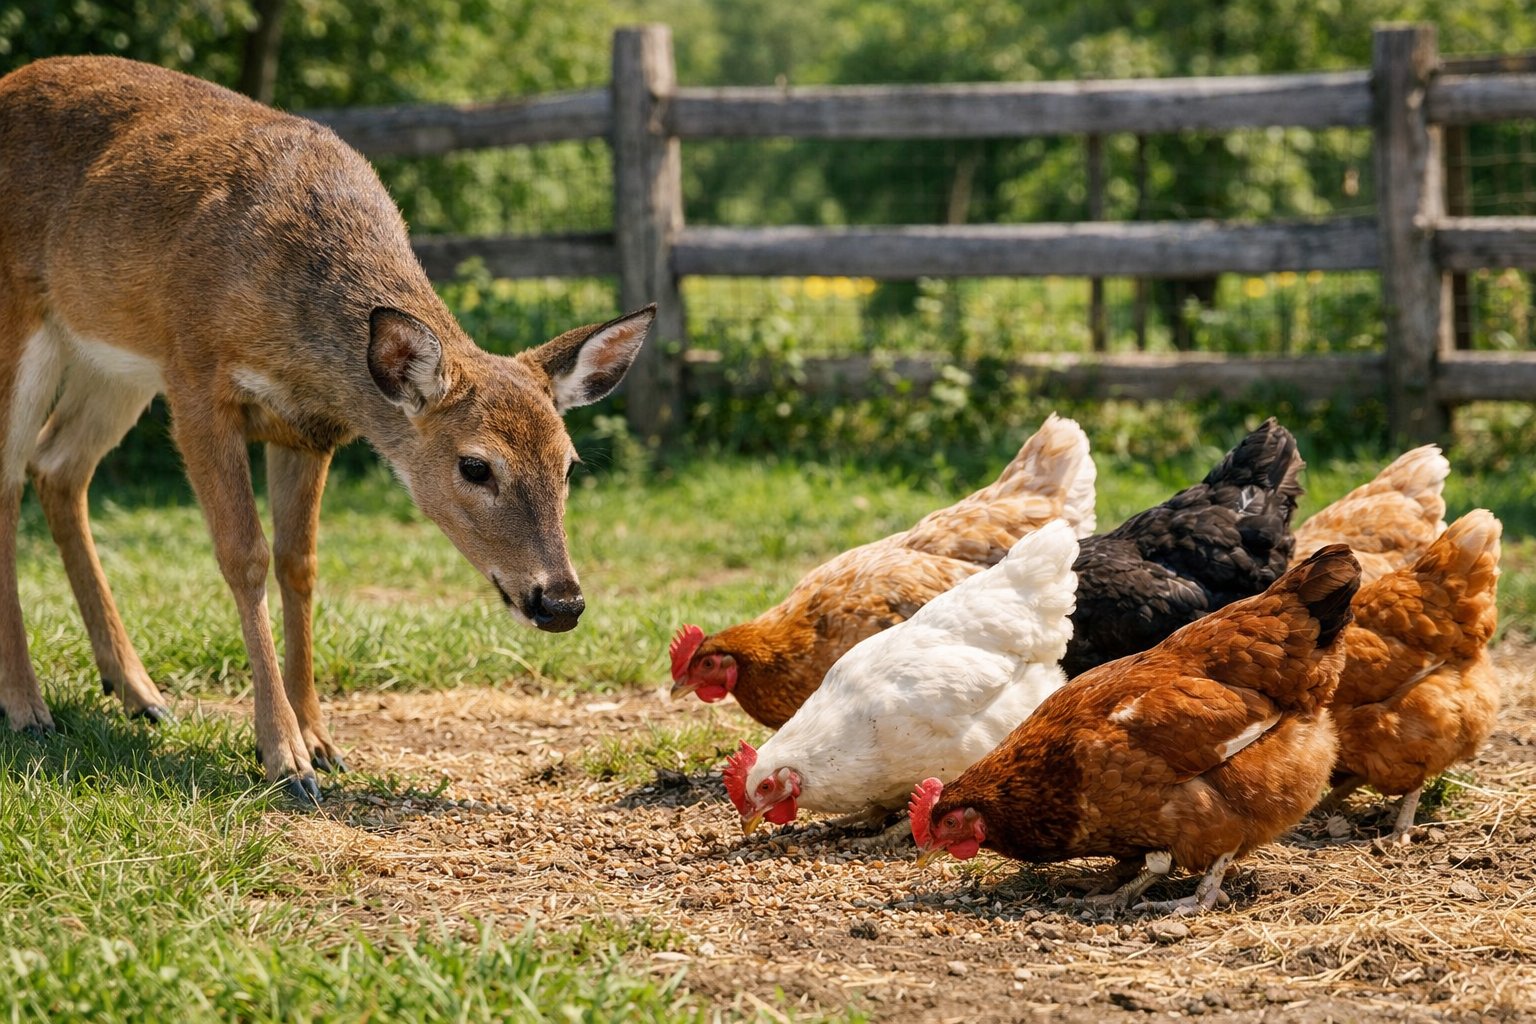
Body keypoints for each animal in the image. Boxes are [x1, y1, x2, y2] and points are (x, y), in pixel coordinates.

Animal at [0, 56, 654, 802]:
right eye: (475, 466)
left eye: (569, 465)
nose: (561, 601)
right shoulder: (195, 379)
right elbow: (245, 555)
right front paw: (284, 757)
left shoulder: (305, 428)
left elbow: (300, 563)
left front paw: (320, 738)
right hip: (25, 318)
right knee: (10, 476)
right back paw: (27, 707)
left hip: (113, 360)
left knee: (57, 466)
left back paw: (138, 692)